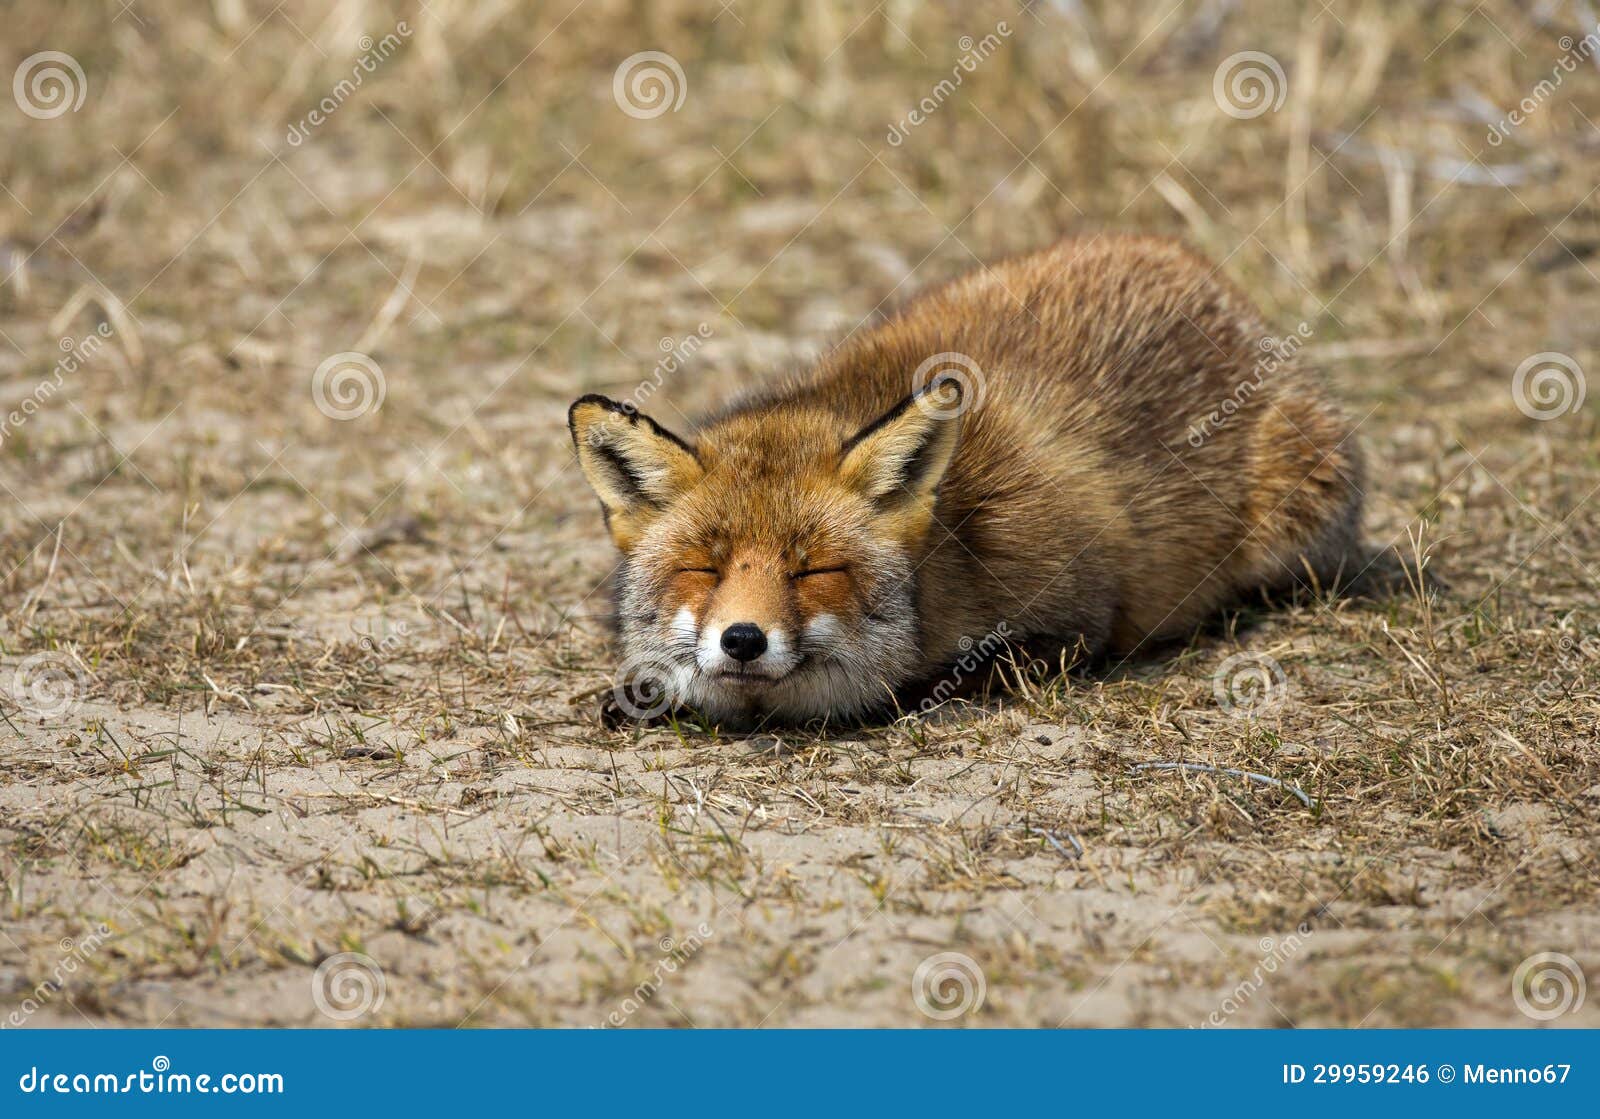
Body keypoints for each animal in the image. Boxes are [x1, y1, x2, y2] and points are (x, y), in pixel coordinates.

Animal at [569, 234, 1365, 727]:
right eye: (702, 568)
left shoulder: (1076, 618)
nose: (742, 639)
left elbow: (958, 675)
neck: (954, 558)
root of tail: (1204, 272)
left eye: (814, 571)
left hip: (1300, 510)